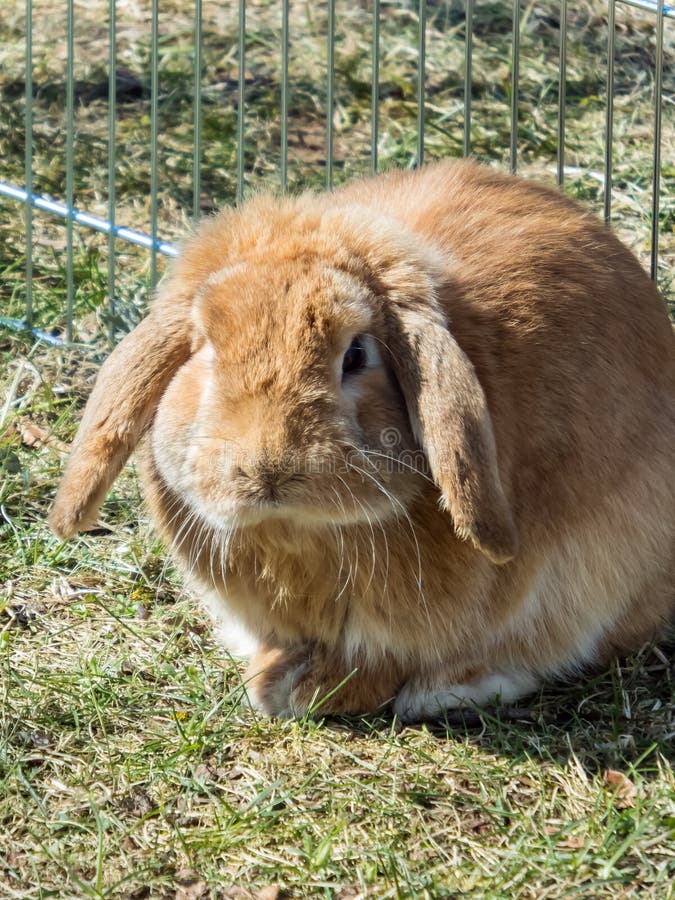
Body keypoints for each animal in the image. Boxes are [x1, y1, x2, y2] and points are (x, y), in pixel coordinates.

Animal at [50, 160, 675, 722]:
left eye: (355, 354)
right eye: (205, 345)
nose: (267, 470)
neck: (296, 532)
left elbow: (379, 667)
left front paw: (303, 693)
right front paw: (271, 678)